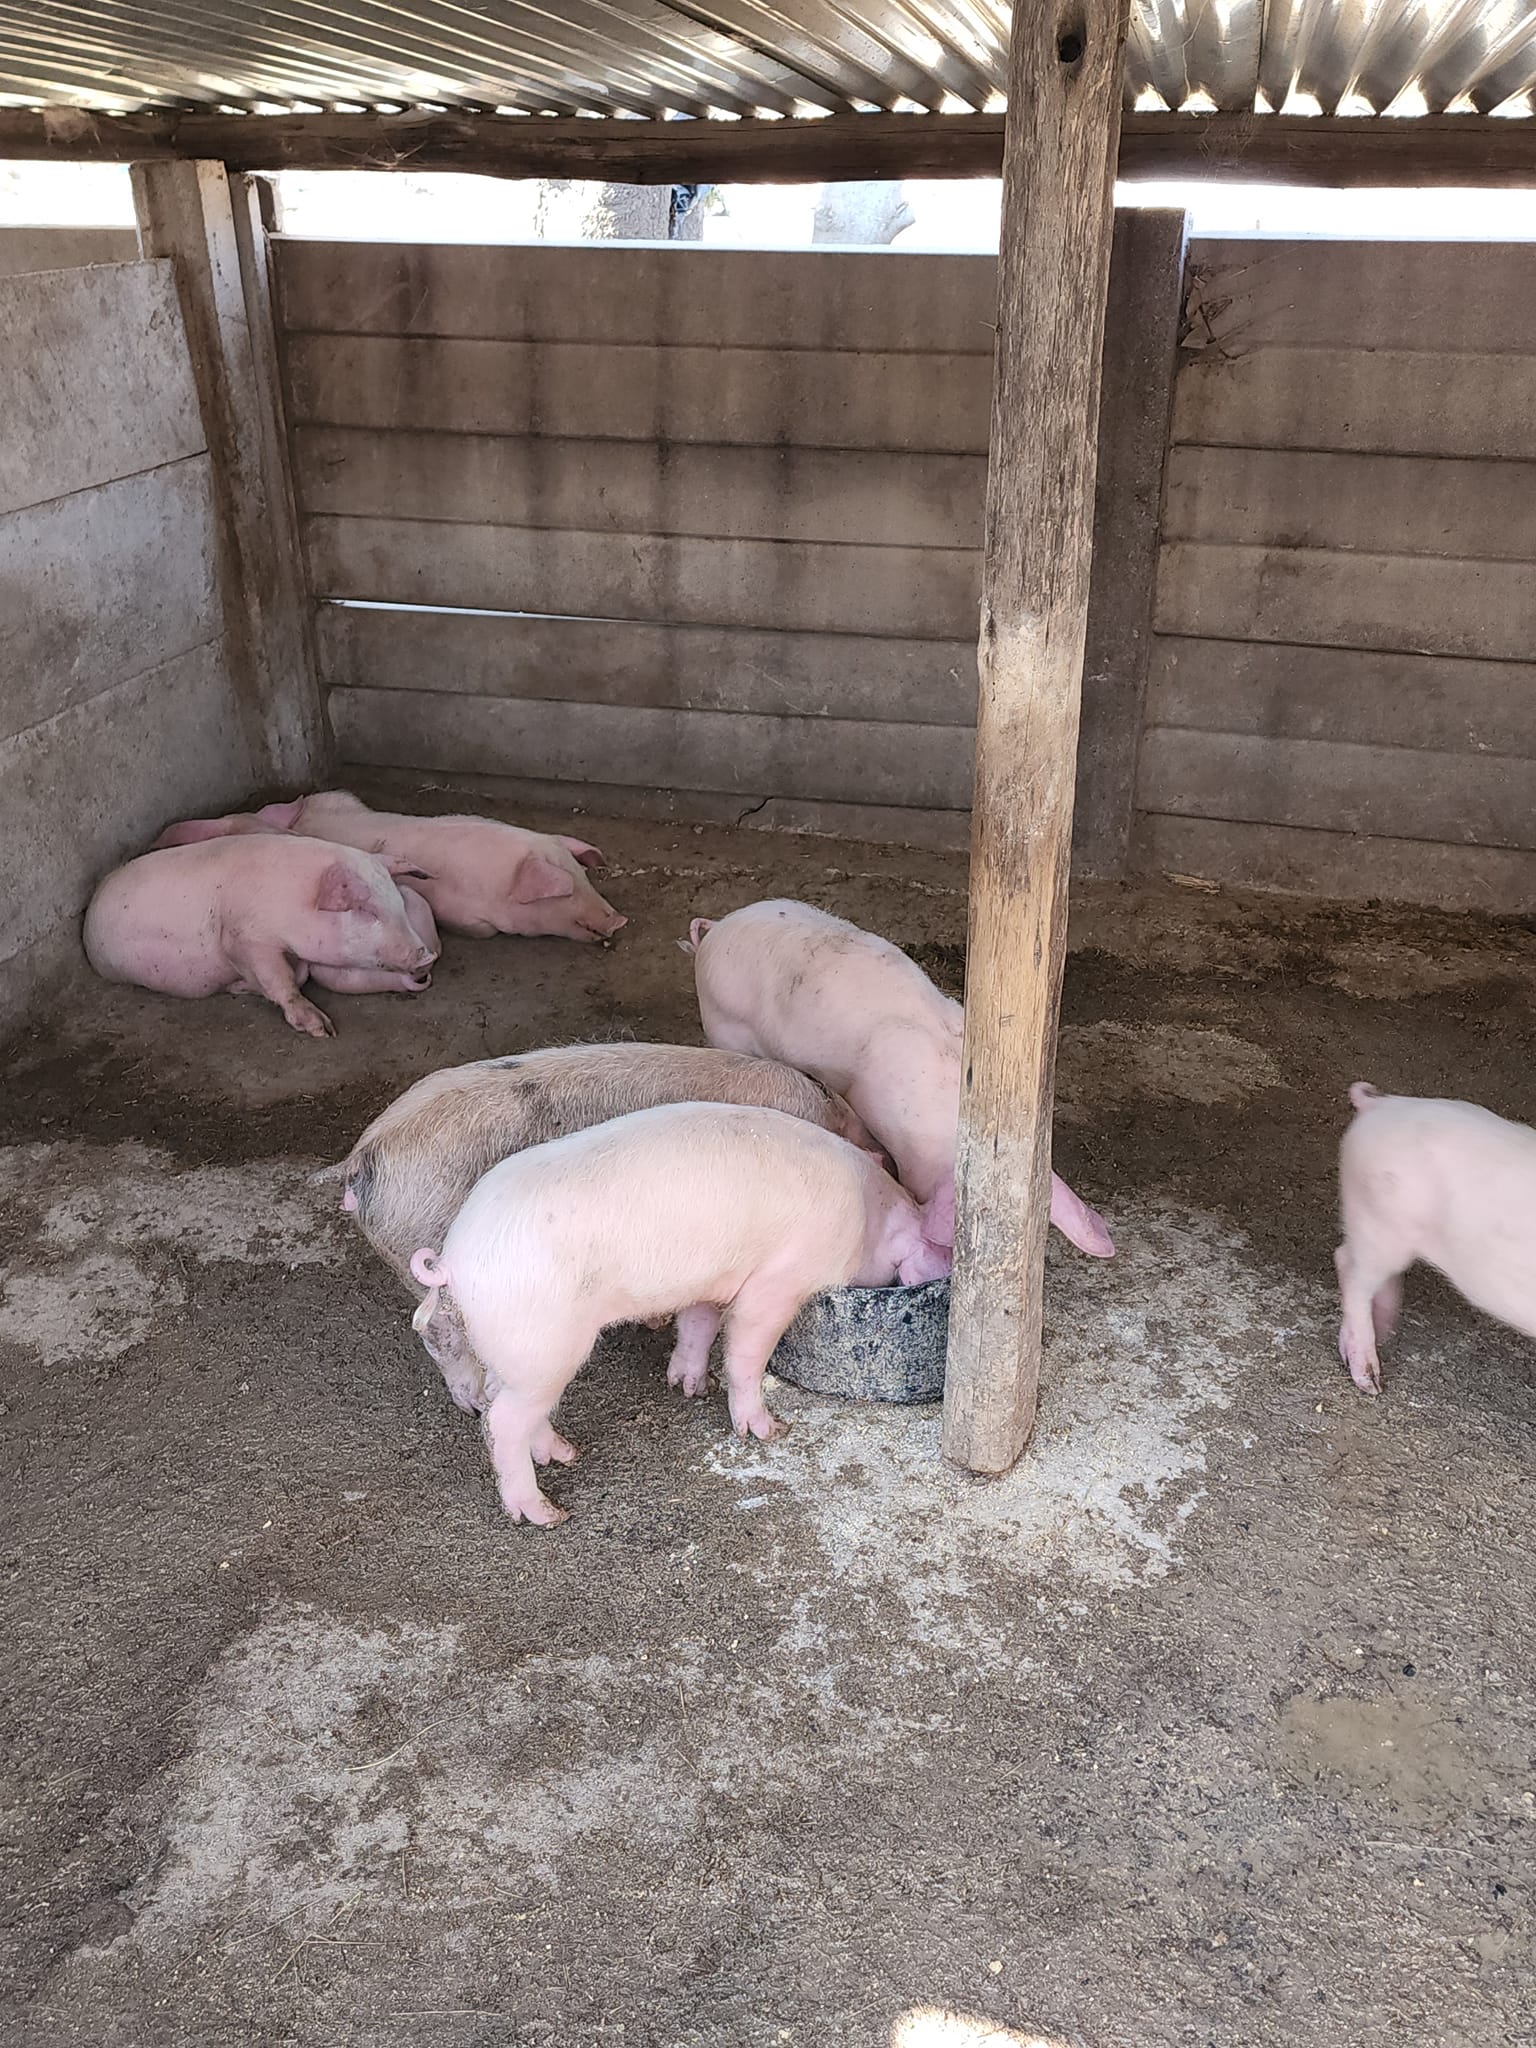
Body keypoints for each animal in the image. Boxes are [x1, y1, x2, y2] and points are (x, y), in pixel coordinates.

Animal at [83, 836, 438, 1038]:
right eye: (365, 909)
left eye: (399, 900)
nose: (426, 956)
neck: (294, 899)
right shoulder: (243, 939)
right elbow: (280, 978)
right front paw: (323, 1030)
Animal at [154, 789, 625, 943]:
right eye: (565, 890)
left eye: (584, 877)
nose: (619, 920)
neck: (497, 882)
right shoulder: (462, 912)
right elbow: (481, 929)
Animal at [408, 1102, 950, 1525]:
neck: (869, 1217)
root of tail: (454, 1259)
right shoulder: (780, 1280)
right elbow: (747, 1347)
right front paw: (768, 1430)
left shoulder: (711, 1279)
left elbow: (698, 1325)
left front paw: (690, 1387)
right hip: (544, 1342)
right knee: (502, 1420)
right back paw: (543, 1513)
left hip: (516, 1348)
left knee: (504, 1400)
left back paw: (564, 1454)